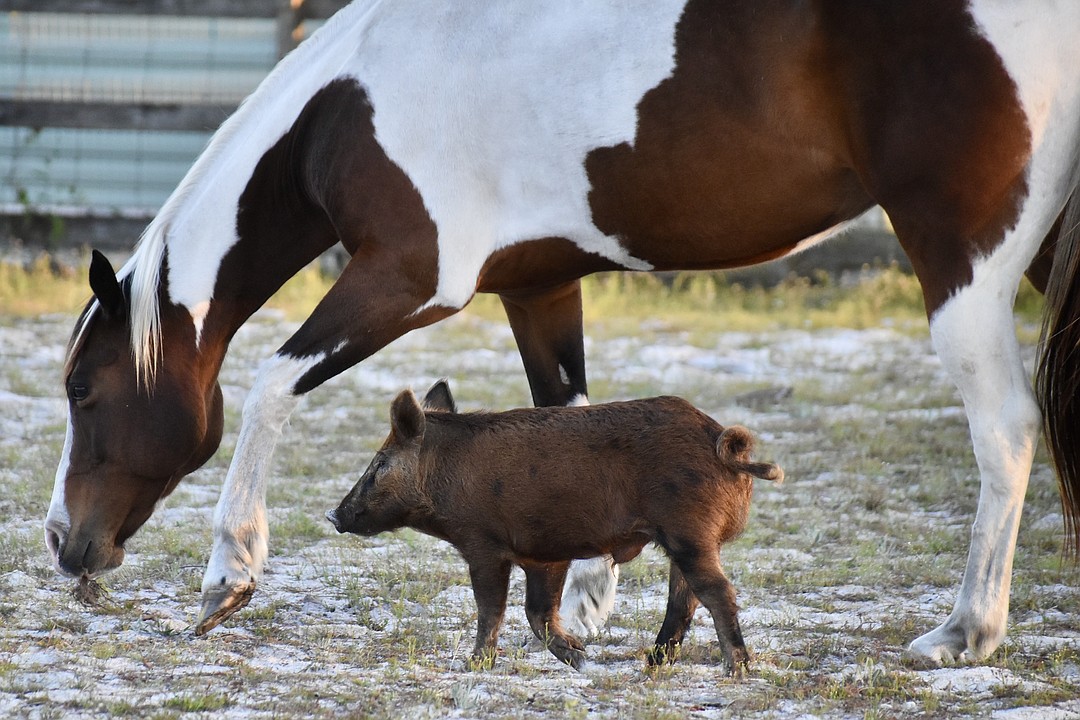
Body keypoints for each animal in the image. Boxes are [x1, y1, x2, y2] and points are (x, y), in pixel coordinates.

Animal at [46, 0, 1080, 666]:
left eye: (83, 391)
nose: (64, 541)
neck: (349, 102)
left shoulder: (410, 279)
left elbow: (268, 382)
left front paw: (228, 575)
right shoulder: (538, 286)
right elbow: (569, 417)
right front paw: (583, 601)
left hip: (962, 259)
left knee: (1005, 429)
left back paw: (965, 631)